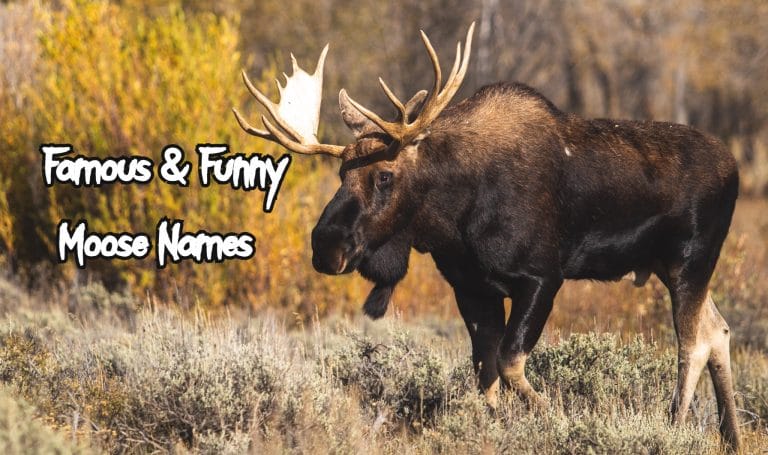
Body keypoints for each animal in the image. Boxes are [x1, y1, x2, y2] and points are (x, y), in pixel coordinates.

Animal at [233, 23, 741, 450]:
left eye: (385, 175)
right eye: (342, 173)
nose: (326, 246)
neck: (452, 218)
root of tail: (734, 168)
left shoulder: (541, 277)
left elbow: (511, 361)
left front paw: (554, 419)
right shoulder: (472, 287)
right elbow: (486, 369)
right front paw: (490, 427)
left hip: (690, 260)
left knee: (692, 342)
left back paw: (675, 427)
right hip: (667, 265)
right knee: (717, 329)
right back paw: (730, 437)